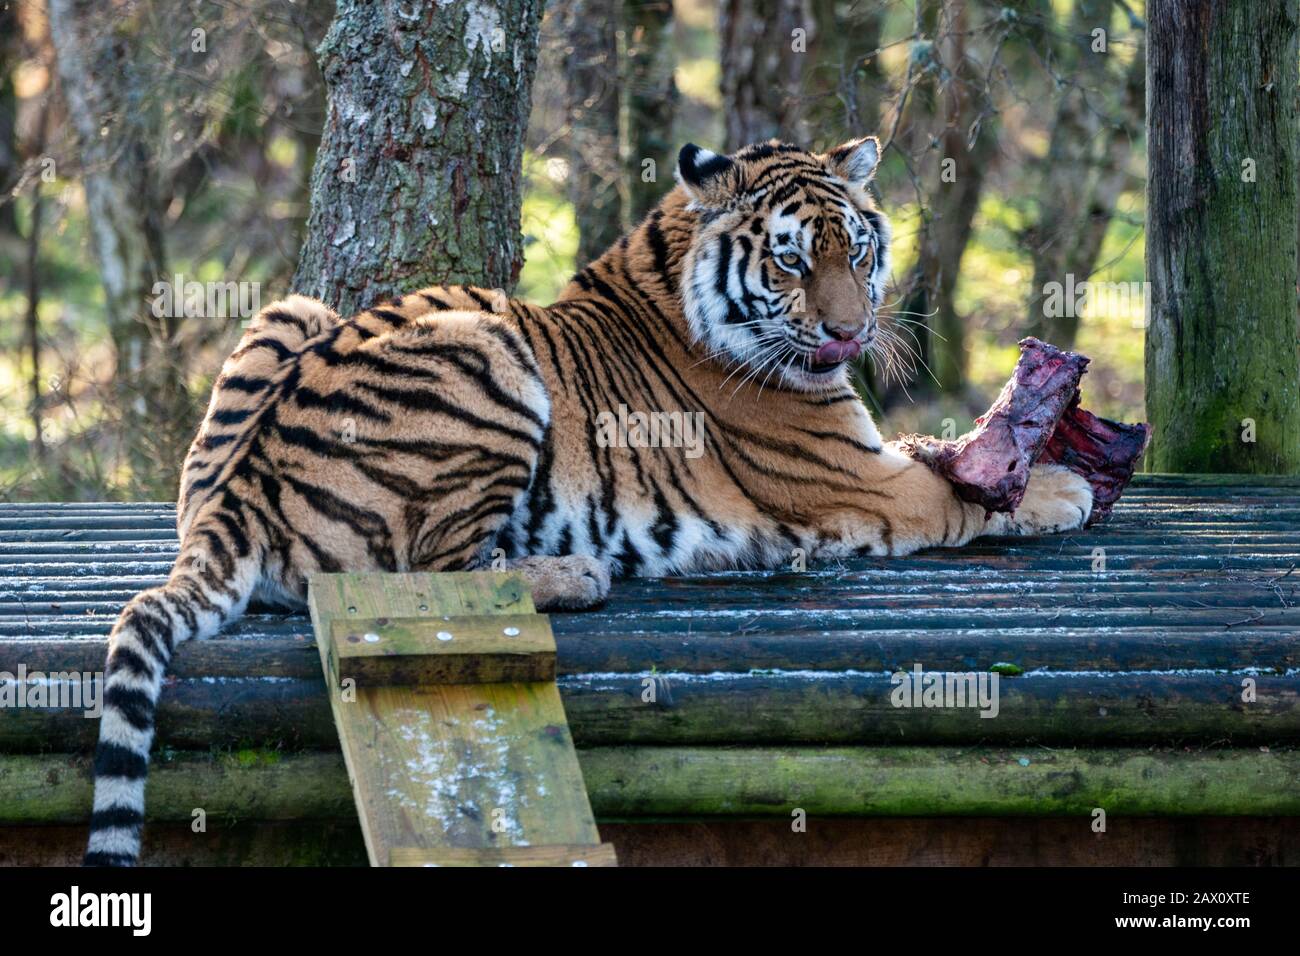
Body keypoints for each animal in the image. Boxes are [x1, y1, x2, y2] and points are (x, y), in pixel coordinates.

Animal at [84, 136, 1093, 865]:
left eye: (861, 249)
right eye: (792, 262)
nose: (851, 333)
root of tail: (235, 503)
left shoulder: (866, 454)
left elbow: (936, 452)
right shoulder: (854, 477)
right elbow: (957, 493)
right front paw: (1062, 485)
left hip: (292, 311)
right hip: (481, 347)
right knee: (425, 573)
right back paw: (575, 573)